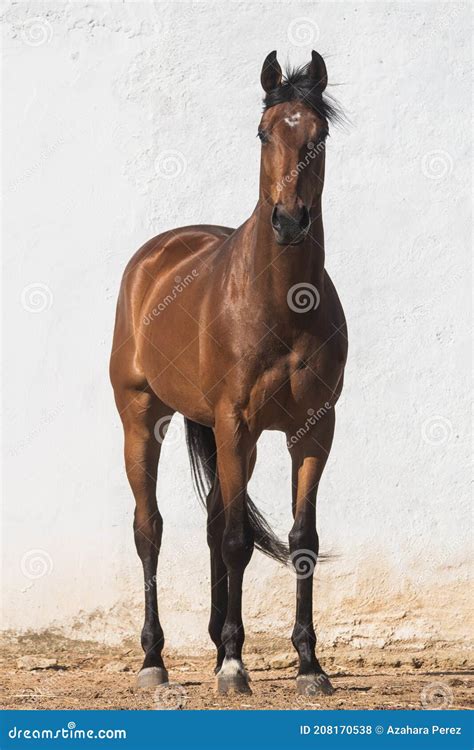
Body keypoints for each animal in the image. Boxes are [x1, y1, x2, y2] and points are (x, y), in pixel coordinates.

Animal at [110, 49, 347, 697]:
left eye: (318, 136)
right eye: (265, 133)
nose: (289, 221)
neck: (283, 300)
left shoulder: (312, 430)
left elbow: (301, 540)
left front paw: (309, 666)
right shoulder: (234, 423)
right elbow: (240, 540)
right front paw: (236, 669)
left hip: (232, 435)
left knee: (216, 521)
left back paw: (217, 643)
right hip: (142, 417)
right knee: (150, 528)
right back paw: (154, 660)